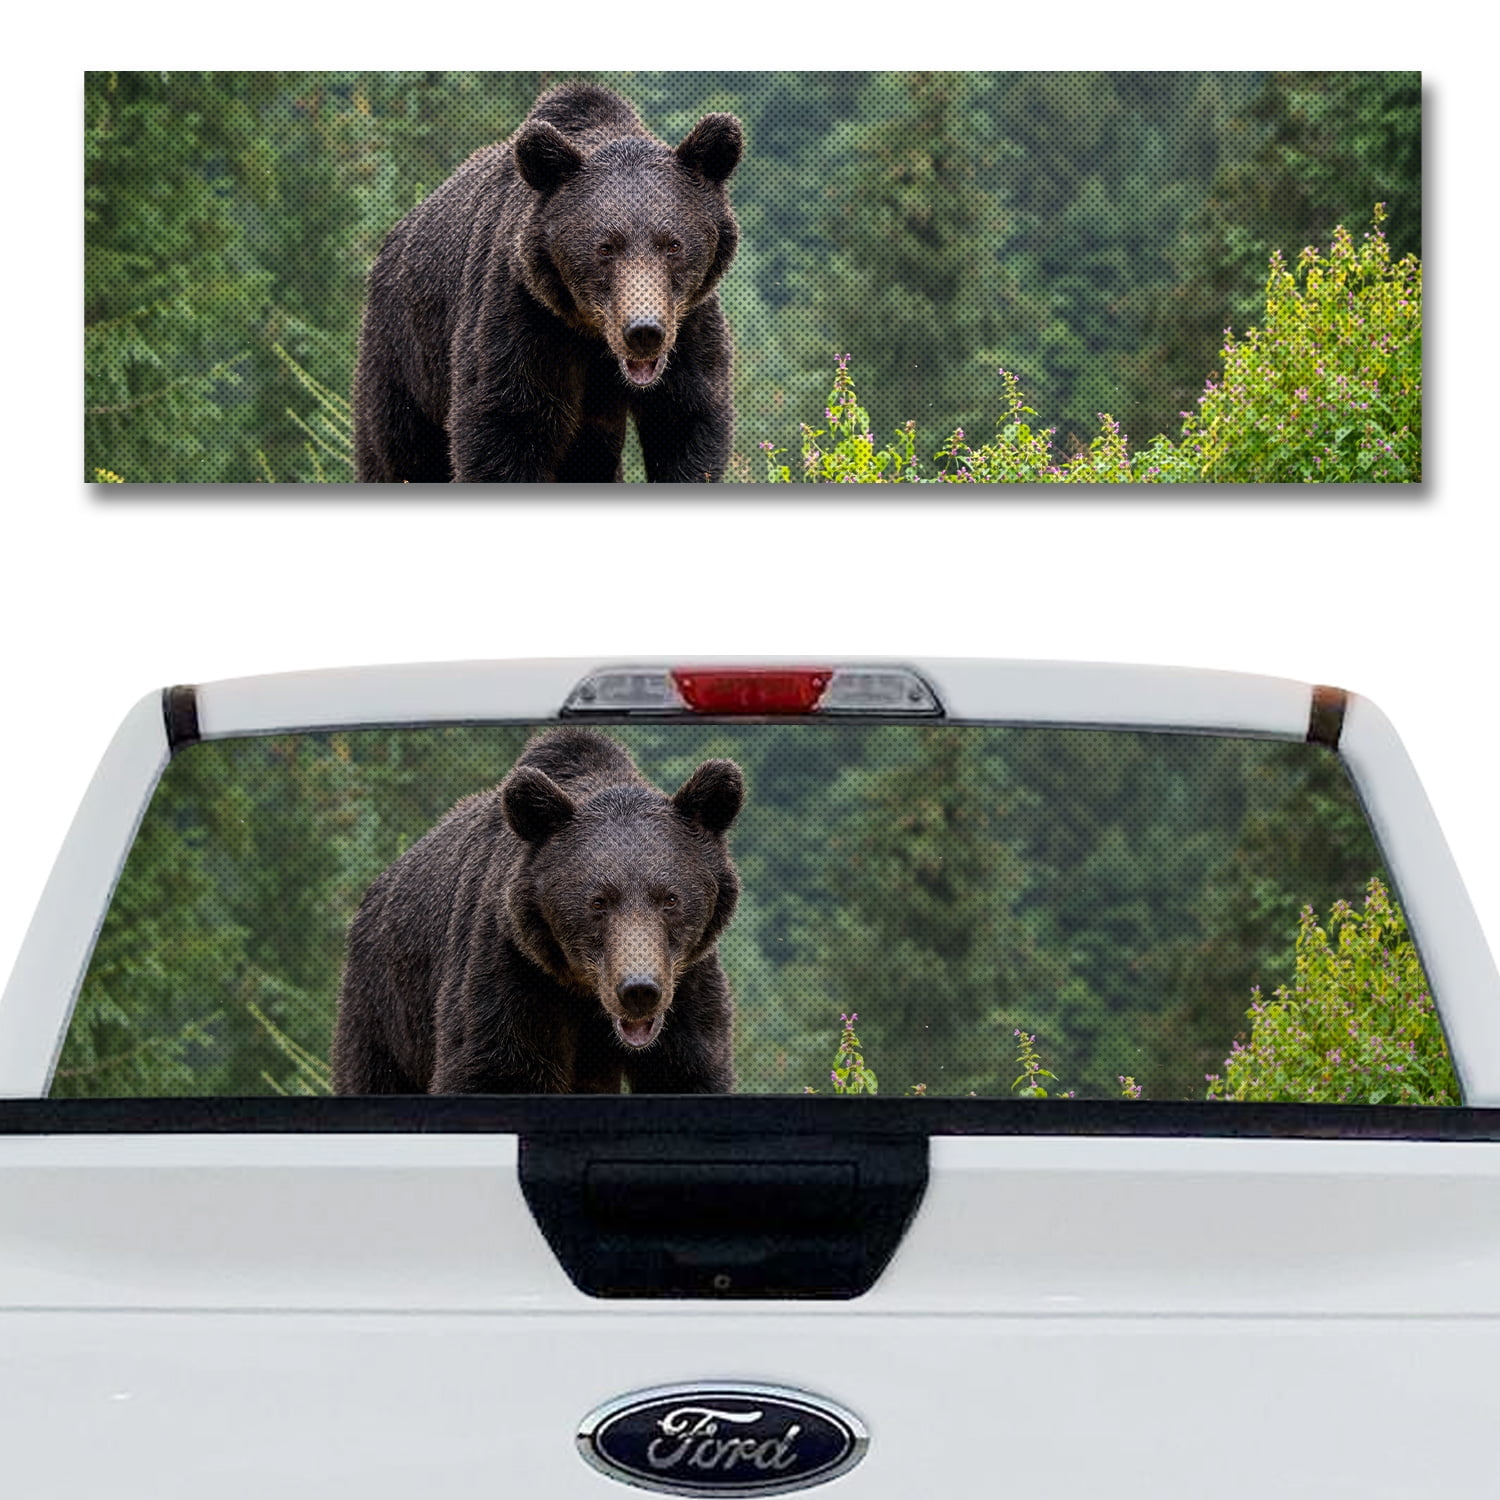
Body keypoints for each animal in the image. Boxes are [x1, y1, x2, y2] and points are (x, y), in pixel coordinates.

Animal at [331, 727, 745, 1095]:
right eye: (598, 902)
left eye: (670, 899)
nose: (639, 990)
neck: (583, 994)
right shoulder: (513, 972)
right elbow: (496, 1069)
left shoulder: (687, 984)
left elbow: (688, 1069)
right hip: (385, 1001)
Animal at [352, 83, 744, 483]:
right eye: (605, 247)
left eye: (672, 244)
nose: (644, 331)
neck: (591, 338)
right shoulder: (525, 319)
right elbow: (504, 428)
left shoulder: (690, 329)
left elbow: (687, 424)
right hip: (404, 353)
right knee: (398, 451)